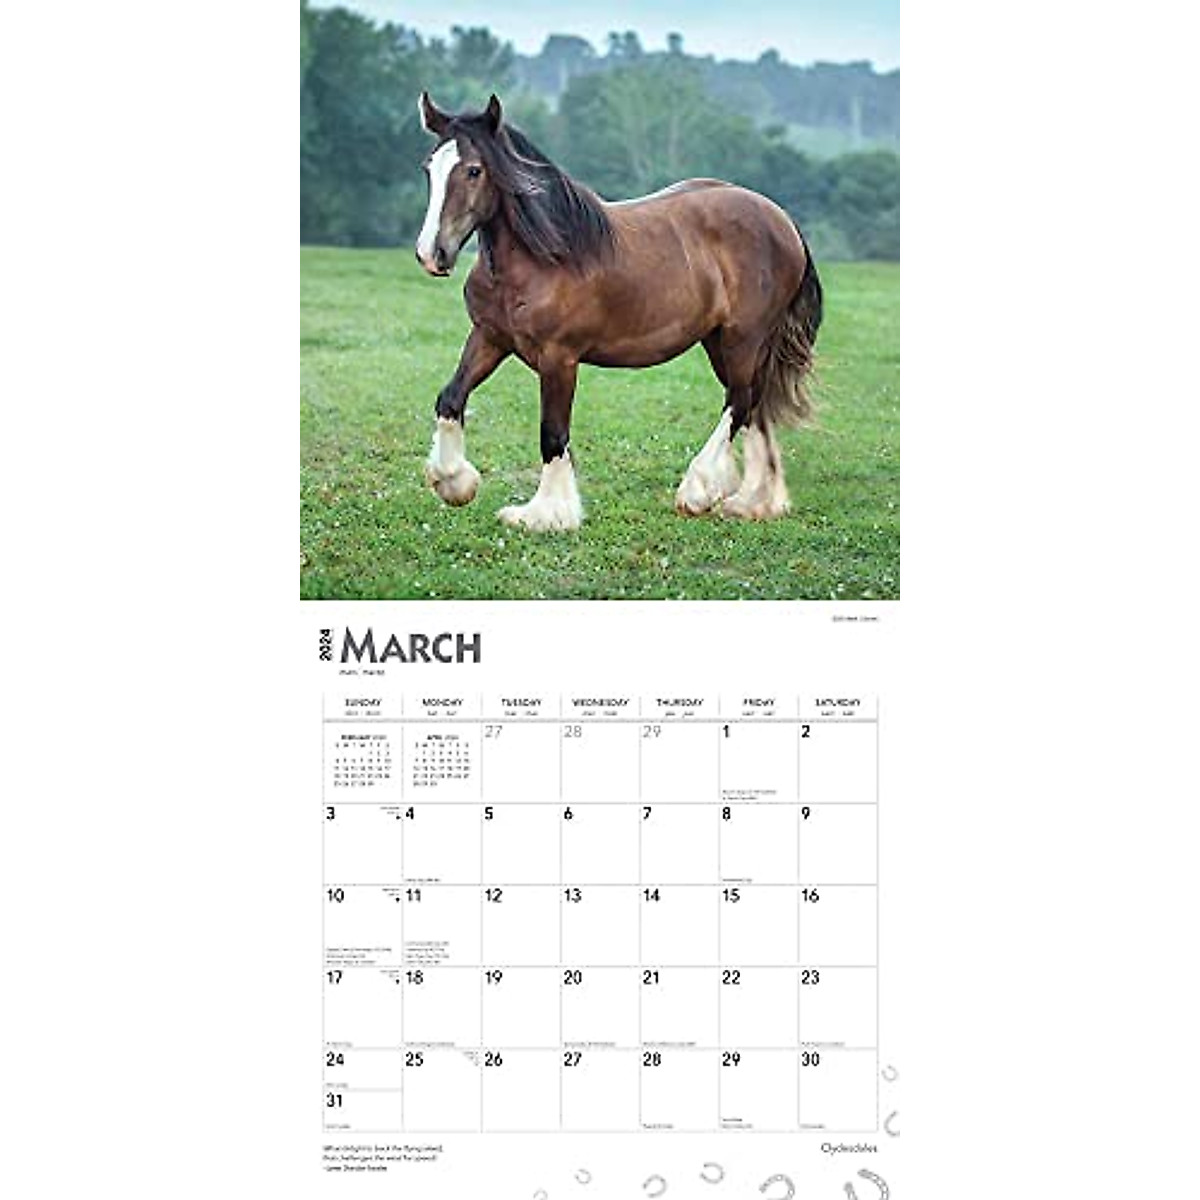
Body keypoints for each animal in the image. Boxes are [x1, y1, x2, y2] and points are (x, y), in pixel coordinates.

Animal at [415, 91, 822, 532]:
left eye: (474, 170)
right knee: (753, 407)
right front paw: (454, 482)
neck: (542, 257)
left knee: (741, 401)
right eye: (429, 168)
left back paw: (698, 491)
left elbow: (552, 433)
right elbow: (450, 399)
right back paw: (755, 503)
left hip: (743, 338)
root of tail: (782, 219)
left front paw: (546, 514)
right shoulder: (489, 338)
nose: (432, 254)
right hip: (721, 342)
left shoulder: (559, 357)